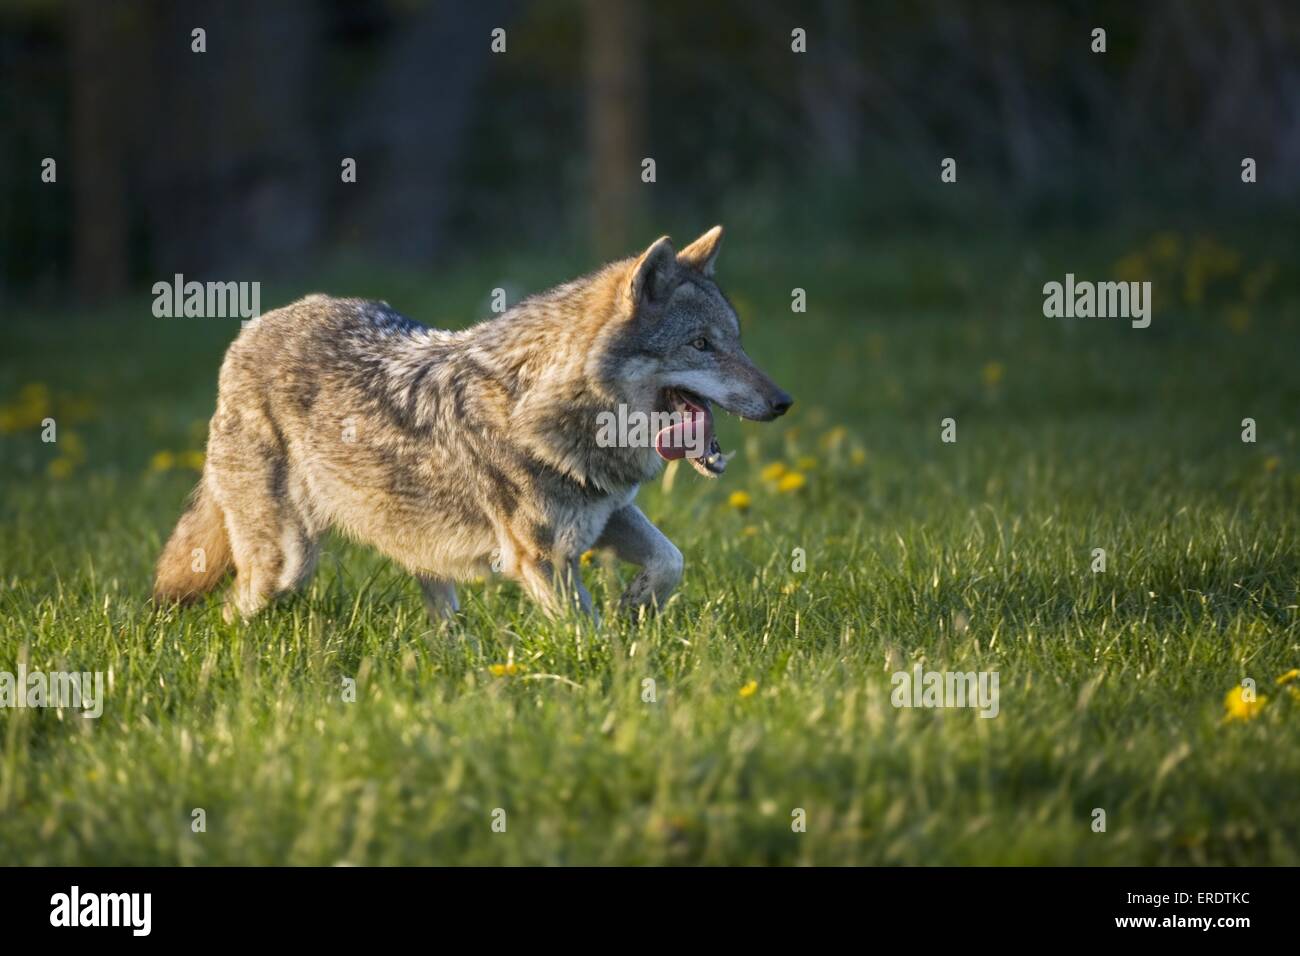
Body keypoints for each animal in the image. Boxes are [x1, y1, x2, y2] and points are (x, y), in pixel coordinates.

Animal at [153, 226, 792, 623]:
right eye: (701, 345)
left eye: (736, 340)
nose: (783, 401)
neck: (547, 406)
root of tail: (250, 330)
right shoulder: (542, 557)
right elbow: (585, 635)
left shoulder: (604, 515)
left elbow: (671, 561)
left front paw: (636, 607)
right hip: (284, 567)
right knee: (230, 611)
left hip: (415, 553)